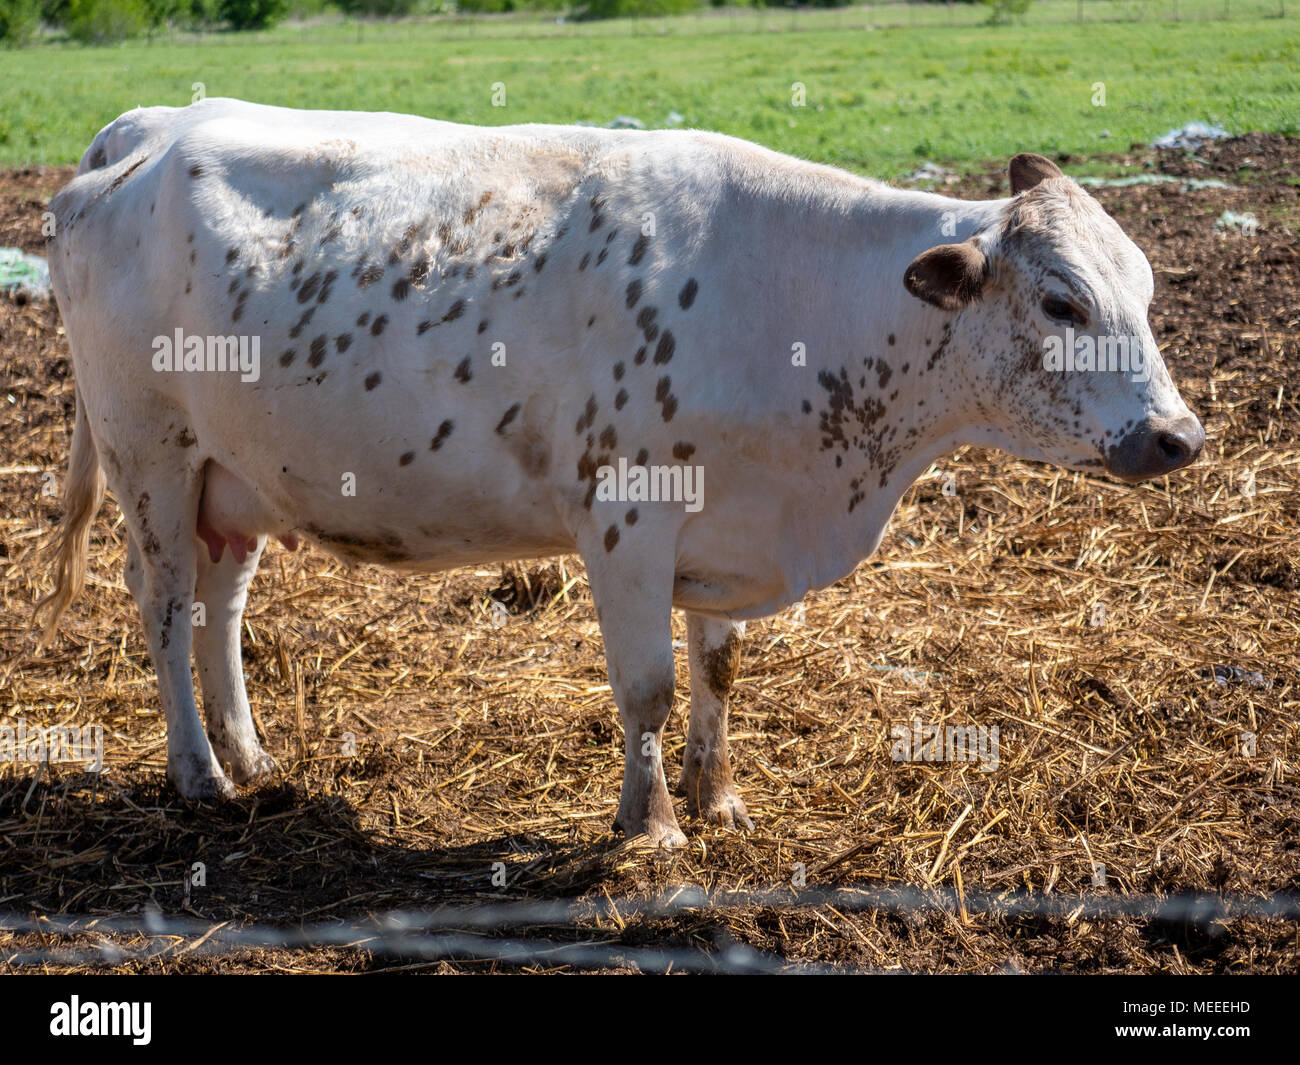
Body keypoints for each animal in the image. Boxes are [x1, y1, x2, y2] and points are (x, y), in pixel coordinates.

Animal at [36, 99, 1203, 847]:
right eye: (1062, 301)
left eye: (1145, 288)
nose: (1178, 436)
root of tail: (142, 131)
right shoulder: (628, 525)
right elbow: (645, 686)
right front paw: (651, 830)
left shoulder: (726, 525)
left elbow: (718, 672)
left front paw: (718, 800)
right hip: (149, 452)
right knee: (164, 604)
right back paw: (198, 776)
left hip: (230, 477)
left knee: (221, 602)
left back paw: (250, 757)